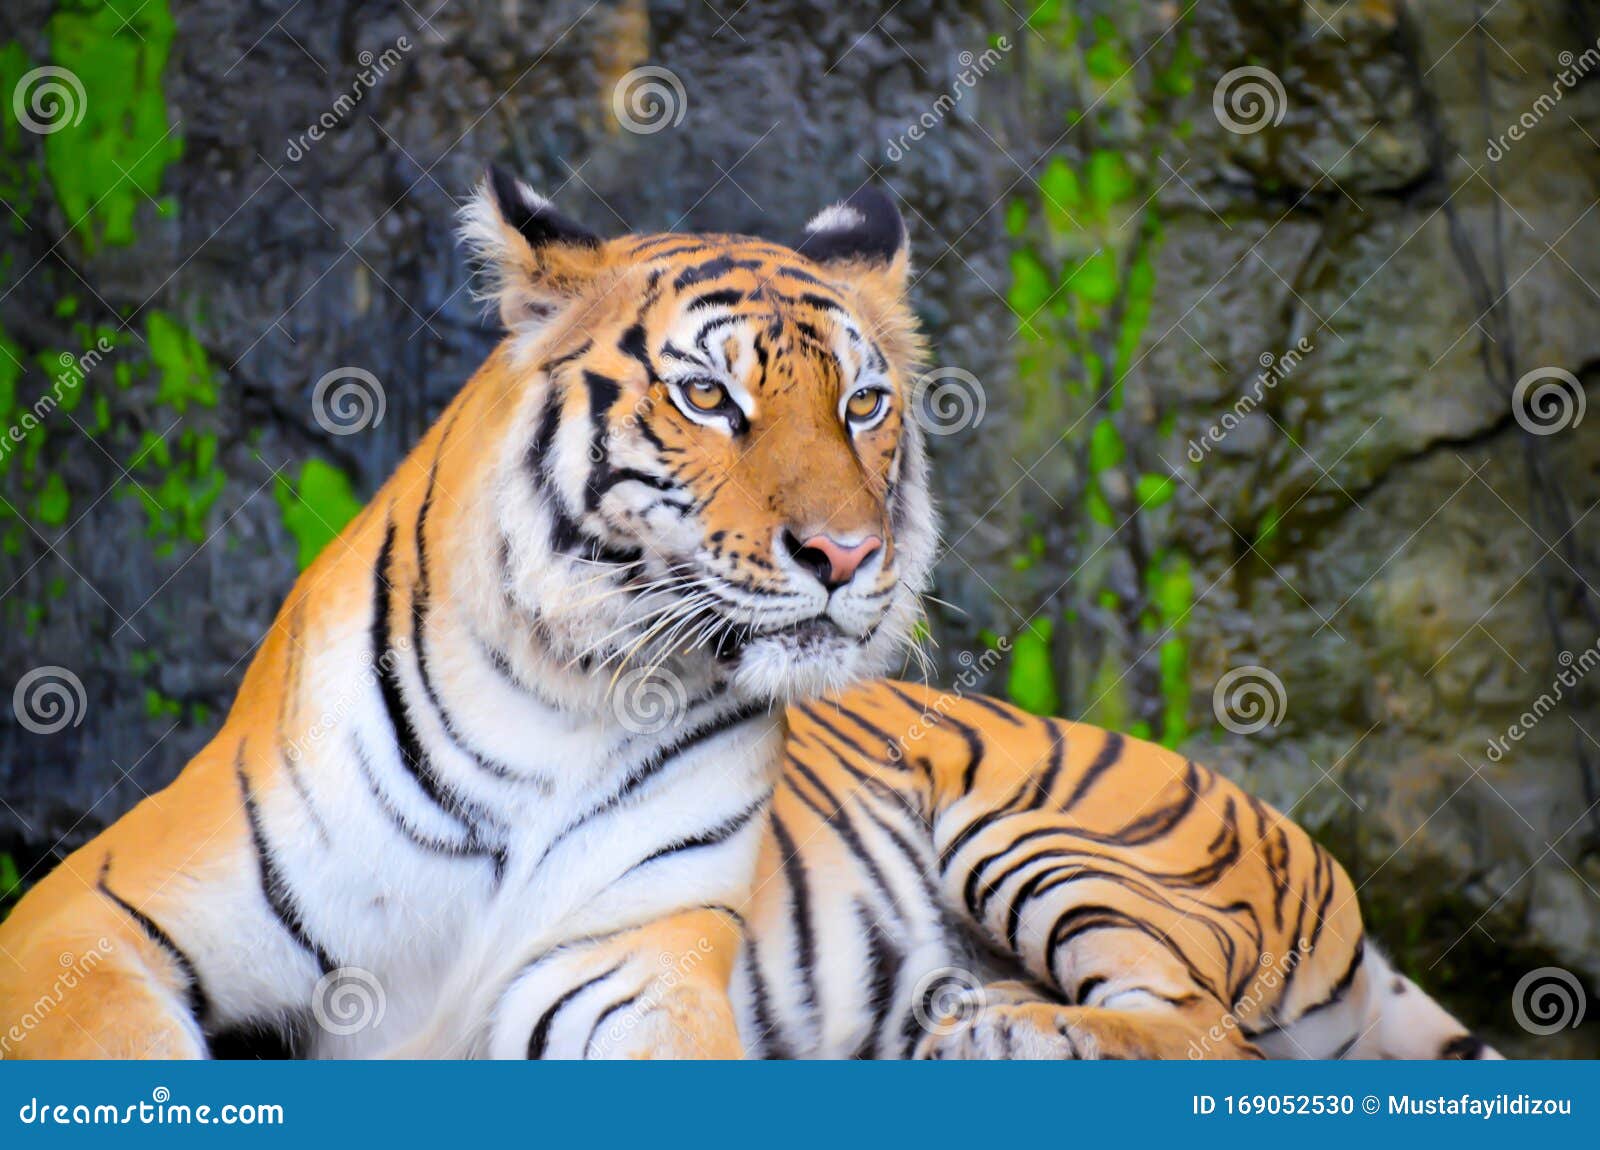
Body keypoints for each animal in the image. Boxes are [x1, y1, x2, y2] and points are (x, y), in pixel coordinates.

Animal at [0, 172, 1496, 1061]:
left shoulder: (628, 960)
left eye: (864, 401)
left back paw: (989, 1028)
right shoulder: (88, 921)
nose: (846, 552)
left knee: (1194, 1030)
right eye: (709, 397)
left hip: (1056, 836)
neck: (566, 689)